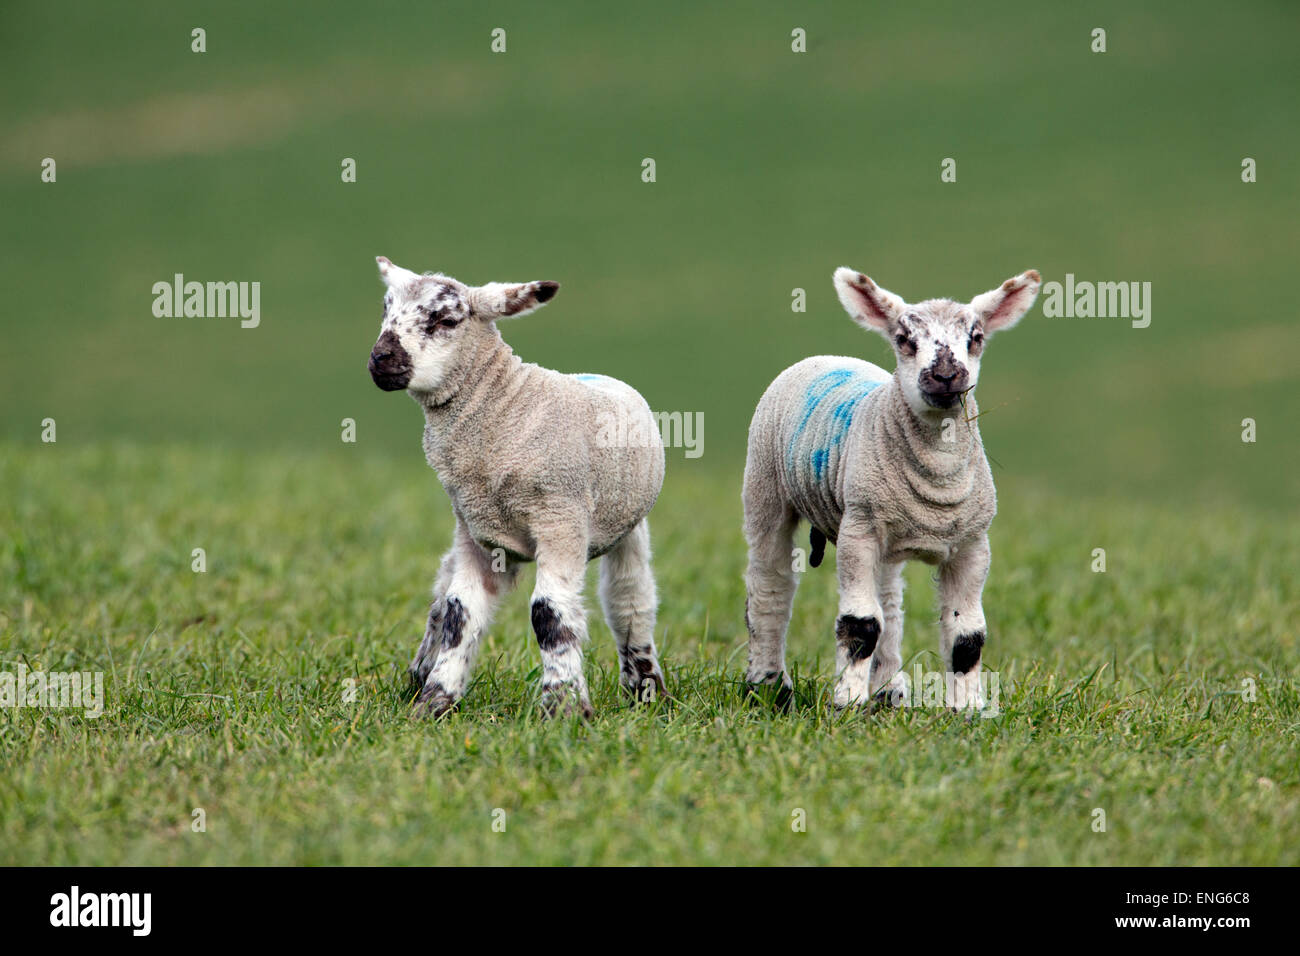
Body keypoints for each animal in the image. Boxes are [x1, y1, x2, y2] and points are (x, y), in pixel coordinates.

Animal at [368, 256, 667, 718]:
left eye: (447, 319)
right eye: (386, 310)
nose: (381, 358)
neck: (505, 406)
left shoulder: (561, 519)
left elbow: (549, 614)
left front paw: (564, 707)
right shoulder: (476, 532)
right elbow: (458, 613)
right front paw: (434, 700)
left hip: (626, 524)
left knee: (629, 601)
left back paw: (645, 688)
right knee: (440, 592)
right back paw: (418, 672)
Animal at [742, 267, 1040, 711]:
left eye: (976, 337)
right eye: (903, 339)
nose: (946, 376)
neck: (937, 485)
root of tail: (828, 357)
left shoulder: (972, 543)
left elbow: (967, 636)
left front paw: (968, 709)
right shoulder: (859, 530)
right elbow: (860, 625)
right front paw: (845, 704)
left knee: (890, 603)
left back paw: (887, 691)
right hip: (766, 487)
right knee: (769, 589)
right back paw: (768, 687)